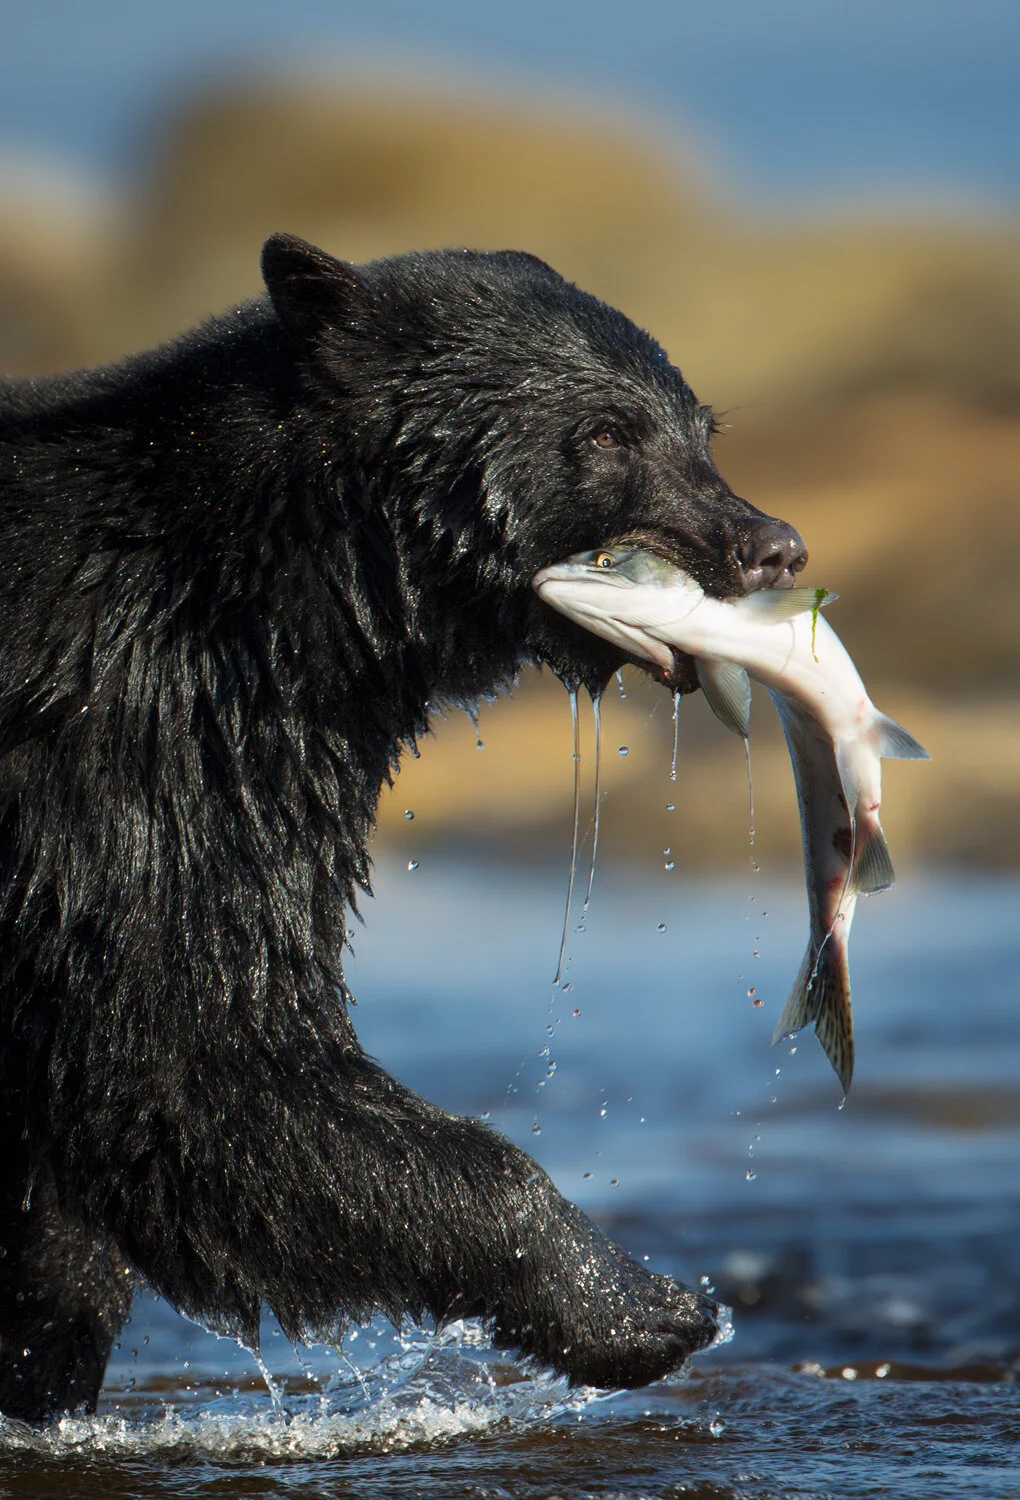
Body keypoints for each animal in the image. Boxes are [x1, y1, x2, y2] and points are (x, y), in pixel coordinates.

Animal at [0, 234, 807, 1421]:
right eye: (605, 435)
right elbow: (186, 1046)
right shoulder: (128, 745)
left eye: (702, 428)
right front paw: (639, 1305)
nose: (771, 547)